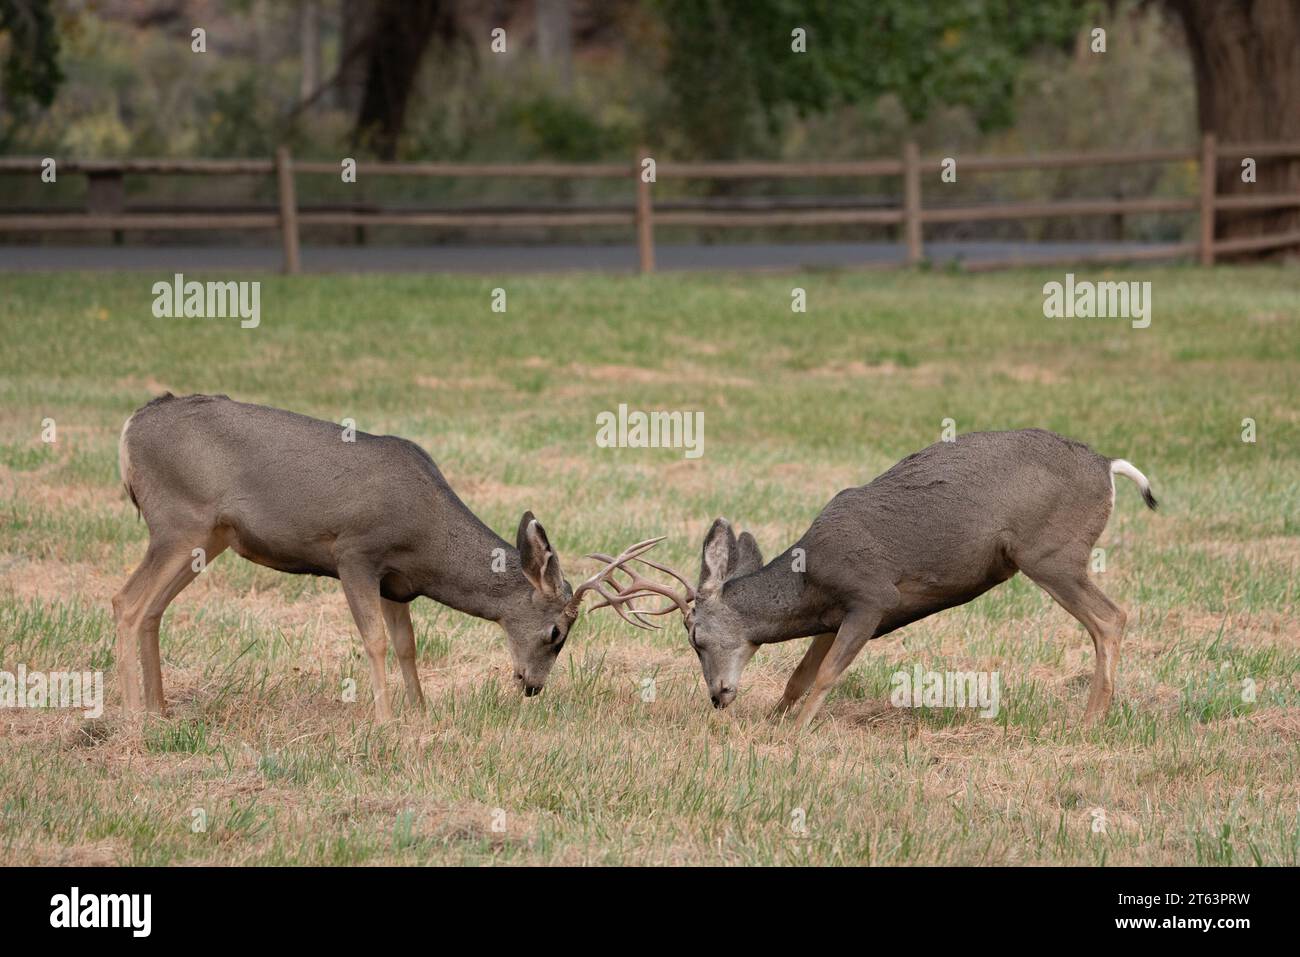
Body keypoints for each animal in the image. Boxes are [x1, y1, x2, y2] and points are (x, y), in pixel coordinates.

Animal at [113, 393, 655, 720]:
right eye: (556, 634)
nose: (532, 687)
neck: (425, 536)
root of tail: (130, 426)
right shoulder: (355, 552)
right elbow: (373, 640)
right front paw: (386, 717)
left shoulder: (398, 581)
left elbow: (406, 645)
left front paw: (420, 710)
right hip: (178, 520)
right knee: (127, 602)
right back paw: (134, 716)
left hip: (208, 537)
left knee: (153, 608)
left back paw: (161, 709)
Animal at [594, 429, 1158, 730]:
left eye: (695, 637)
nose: (718, 696)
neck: (806, 584)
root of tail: (1108, 465)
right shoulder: (834, 614)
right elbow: (799, 675)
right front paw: (776, 720)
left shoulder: (871, 595)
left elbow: (826, 675)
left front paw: (796, 733)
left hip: (1050, 553)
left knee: (1111, 617)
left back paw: (1090, 719)